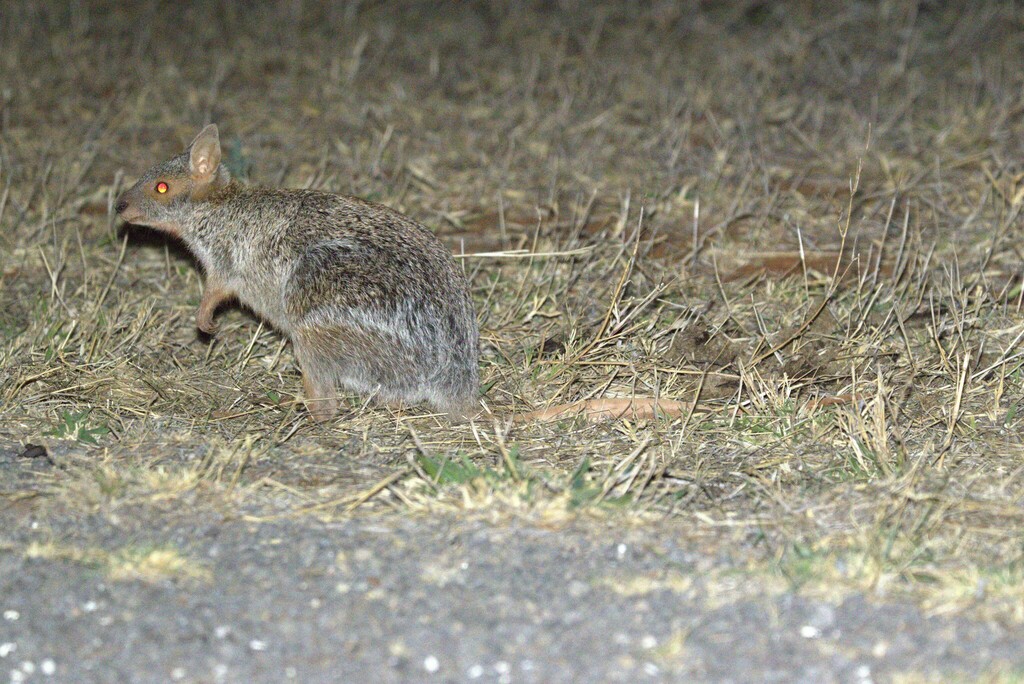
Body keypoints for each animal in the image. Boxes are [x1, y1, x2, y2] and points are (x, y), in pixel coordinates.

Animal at [115, 124, 479, 422]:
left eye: (162, 188)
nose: (119, 205)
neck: (217, 208)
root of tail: (451, 377)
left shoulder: (225, 265)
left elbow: (214, 293)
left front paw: (205, 323)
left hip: (312, 318)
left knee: (327, 402)